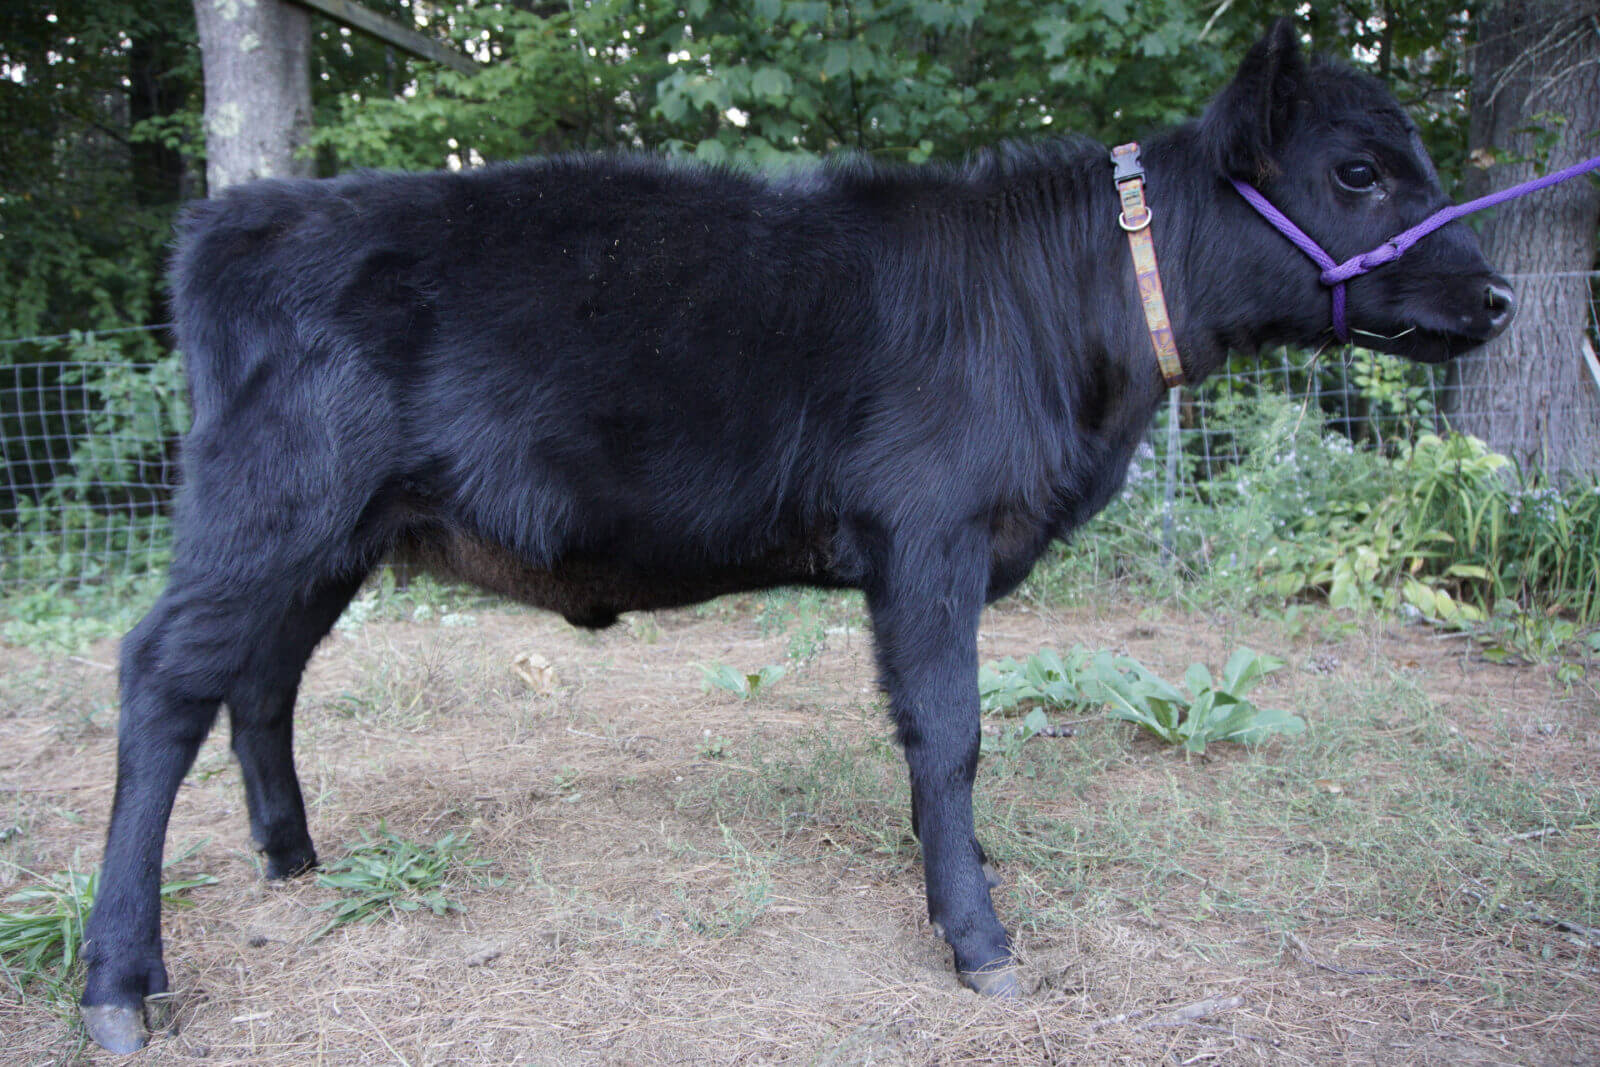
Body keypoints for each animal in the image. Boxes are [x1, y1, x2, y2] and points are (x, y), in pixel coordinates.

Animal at [79, 19, 1513, 1051]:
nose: (1498, 294)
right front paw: (977, 935)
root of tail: (238, 214)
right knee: (164, 678)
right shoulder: (929, 529)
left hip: (335, 532)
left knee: (260, 677)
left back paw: (290, 857)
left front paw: (967, 870)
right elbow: (950, 729)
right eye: (1357, 171)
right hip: (270, 503)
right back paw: (119, 977)